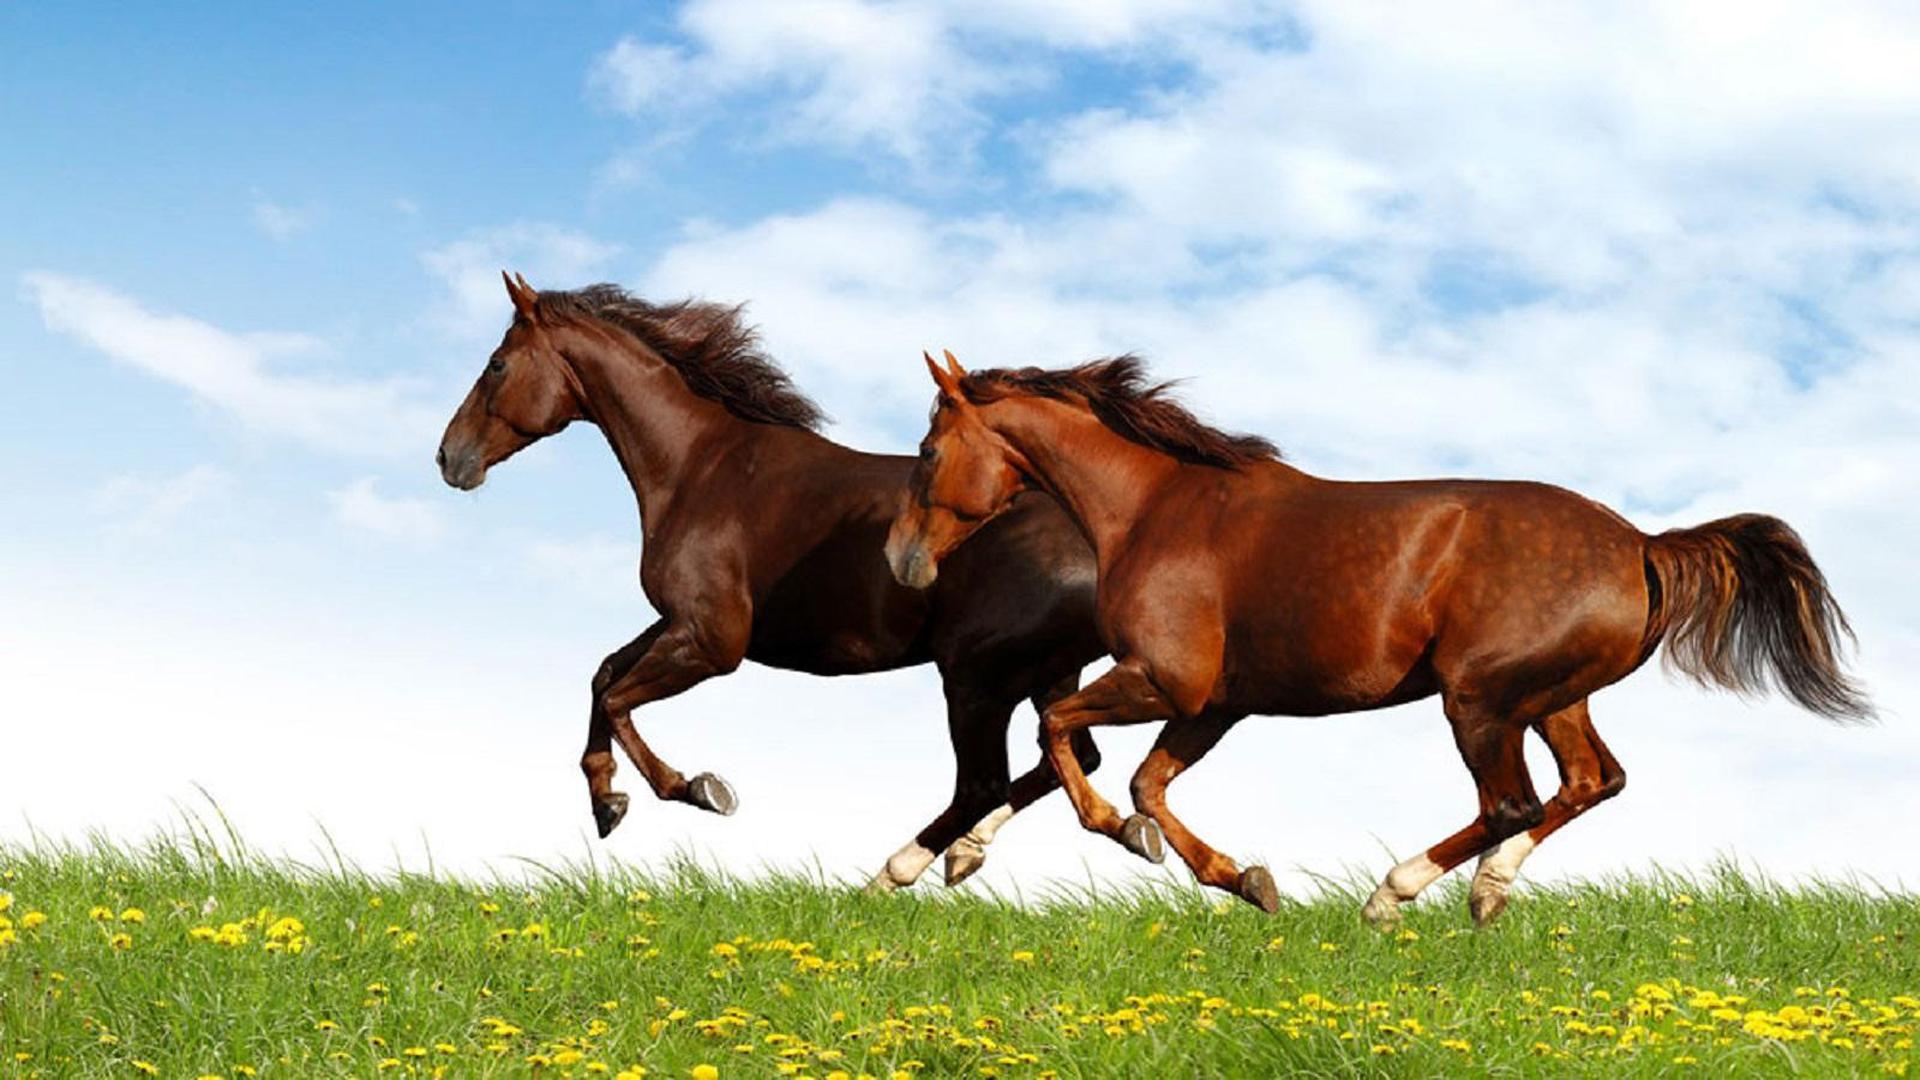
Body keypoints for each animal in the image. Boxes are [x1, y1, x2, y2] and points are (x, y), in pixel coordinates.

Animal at [435, 274, 1106, 891]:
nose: (448, 458)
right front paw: (607, 802)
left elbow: (618, 699)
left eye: (496, 364)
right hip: (1042, 674)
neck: (700, 466)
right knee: (1069, 755)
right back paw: (968, 853)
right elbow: (603, 676)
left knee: (986, 782)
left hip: (975, 679)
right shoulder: (681, 624)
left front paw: (699, 789)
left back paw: (889, 876)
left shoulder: (713, 643)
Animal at [886, 350, 1870, 922]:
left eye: (928, 452)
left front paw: (1122, 839)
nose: (901, 559)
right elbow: (1147, 782)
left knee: (1512, 803)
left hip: (1480, 701)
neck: (1158, 508)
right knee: (1592, 781)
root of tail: (1641, 543)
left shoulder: (1166, 682)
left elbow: (1069, 743)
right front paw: (1242, 878)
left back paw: (1393, 896)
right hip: (1553, 698)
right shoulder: (1215, 706)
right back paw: (1488, 891)